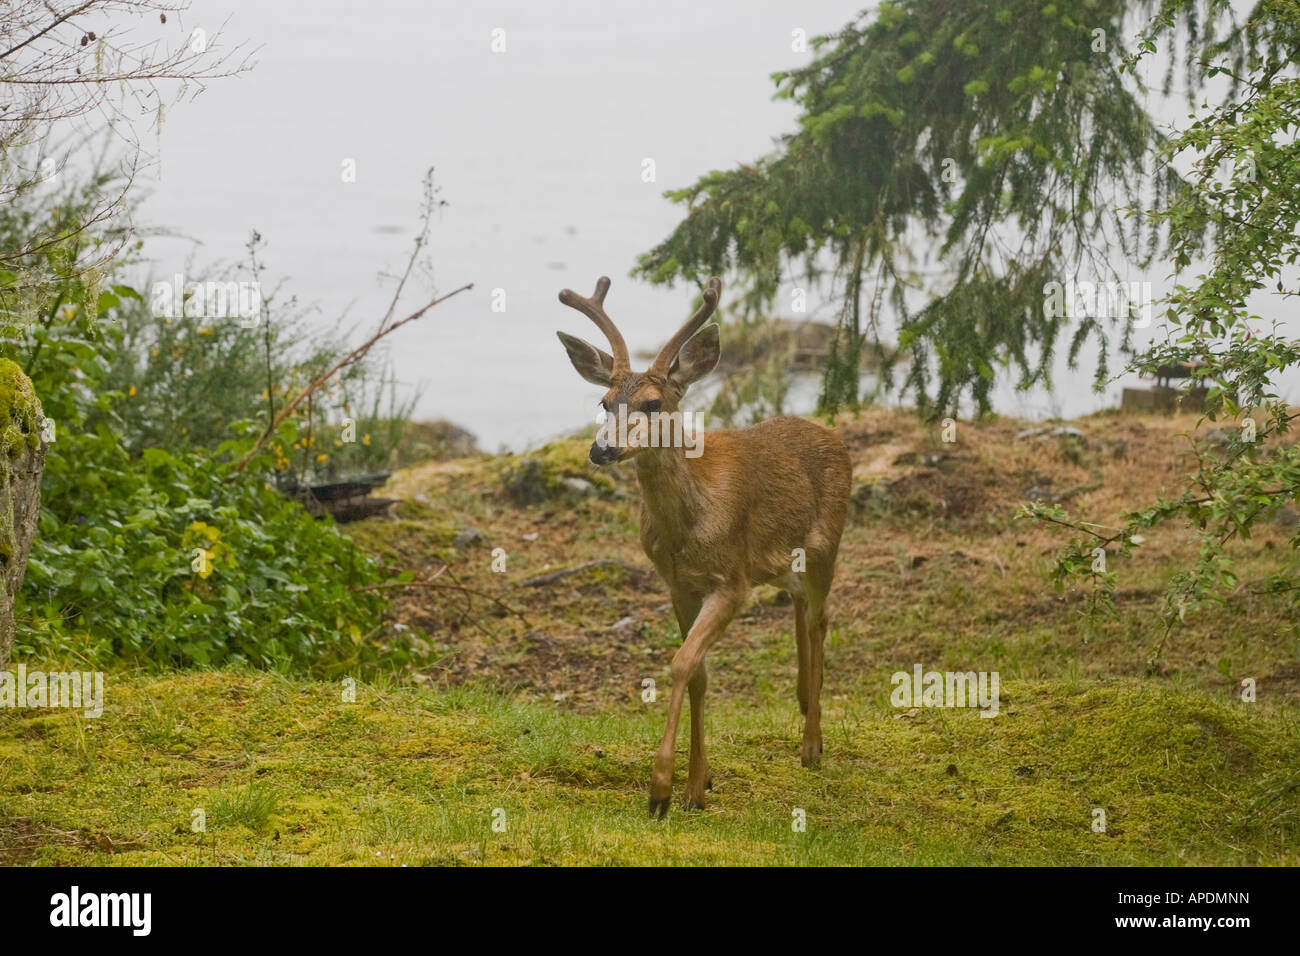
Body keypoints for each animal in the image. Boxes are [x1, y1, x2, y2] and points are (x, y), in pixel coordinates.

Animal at [556, 275, 852, 817]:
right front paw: (697, 785)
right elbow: (698, 674)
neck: (686, 528)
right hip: (783, 562)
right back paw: (803, 700)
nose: (601, 449)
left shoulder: (731, 583)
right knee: (800, 604)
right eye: (604, 402)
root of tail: (833, 434)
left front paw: (660, 790)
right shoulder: (677, 585)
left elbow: (681, 663)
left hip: (827, 543)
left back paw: (812, 746)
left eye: (653, 404)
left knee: (822, 617)